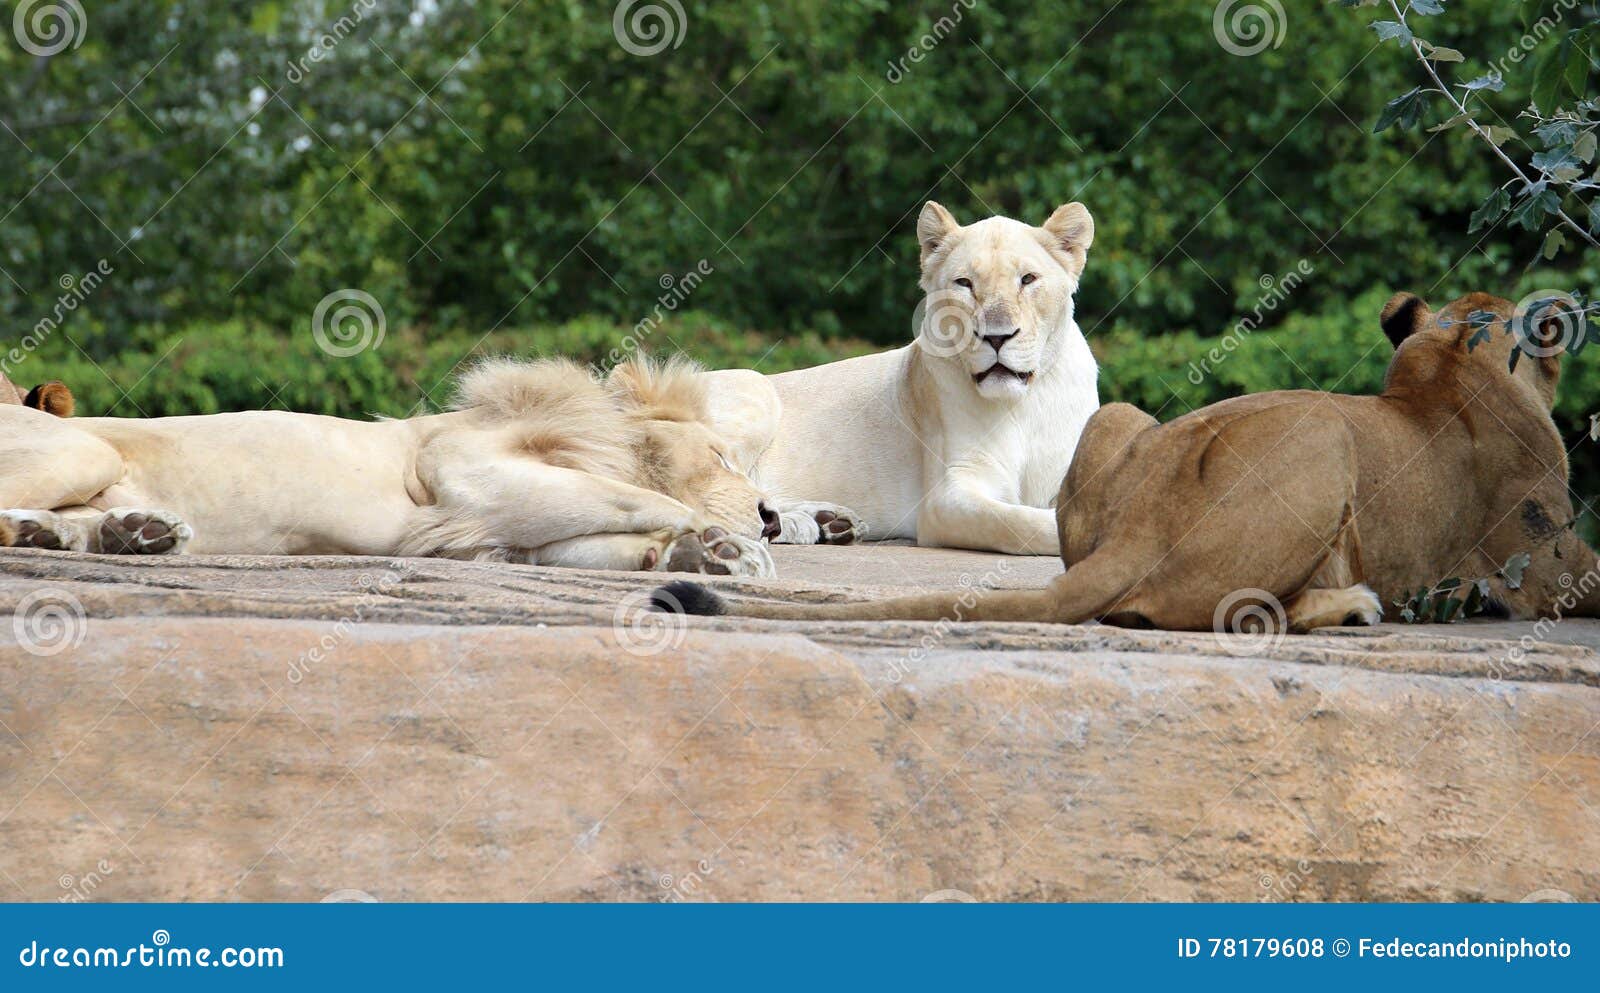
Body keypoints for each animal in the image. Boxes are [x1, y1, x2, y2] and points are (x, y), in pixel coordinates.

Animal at [0, 355, 780, 575]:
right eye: (720, 455)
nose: (773, 515)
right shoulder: (465, 477)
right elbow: (654, 500)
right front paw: (731, 548)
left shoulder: (495, 528)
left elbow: (607, 537)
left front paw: (691, 557)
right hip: (83, 447)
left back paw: (128, 533)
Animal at [656, 291, 1600, 628]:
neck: (1443, 374)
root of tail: (1142, 531)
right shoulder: (1546, 544)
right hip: (1326, 437)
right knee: (1246, 610)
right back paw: (1363, 606)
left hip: (1115, 417)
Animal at [701, 200, 1101, 554]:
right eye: (964, 283)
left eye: (1028, 279)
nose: (997, 336)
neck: (1023, 403)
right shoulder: (947, 497)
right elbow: (1022, 523)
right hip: (756, 387)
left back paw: (824, 523)